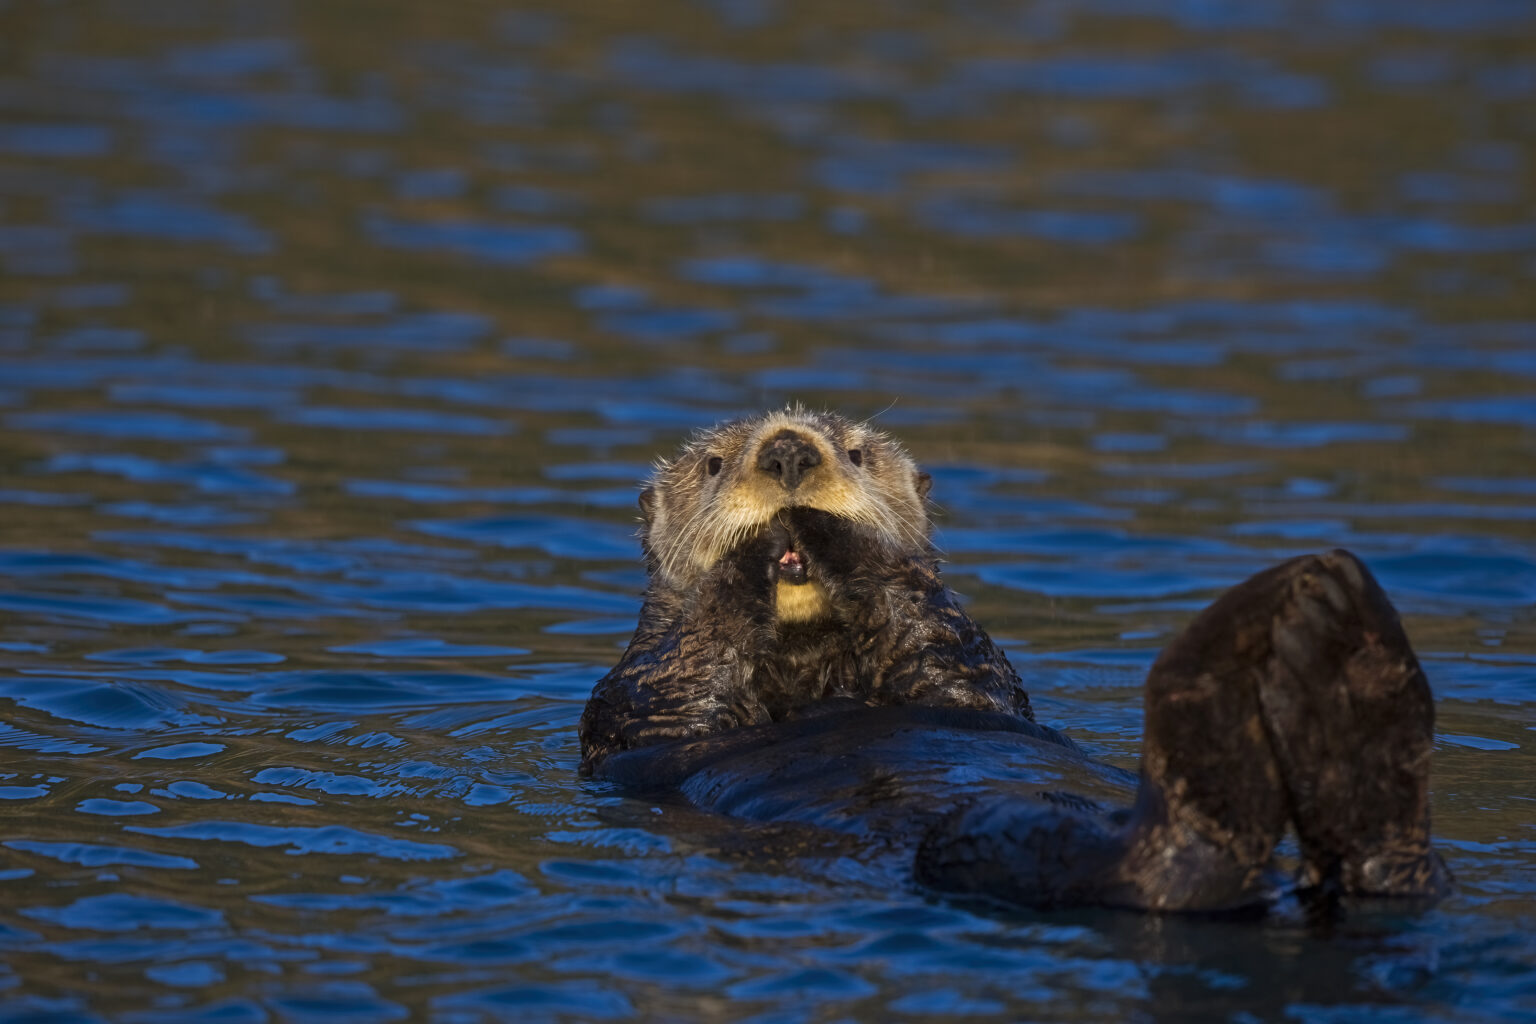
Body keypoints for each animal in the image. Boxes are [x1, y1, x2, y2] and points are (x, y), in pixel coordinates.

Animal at [580, 409, 1449, 912]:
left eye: (856, 454)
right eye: (713, 465)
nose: (790, 455)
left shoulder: (972, 678)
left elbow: (946, 646)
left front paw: (842, 538)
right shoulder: (633, 699)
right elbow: (681, 676)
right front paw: (750, 556)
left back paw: (1343, 659)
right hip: (989, 841)